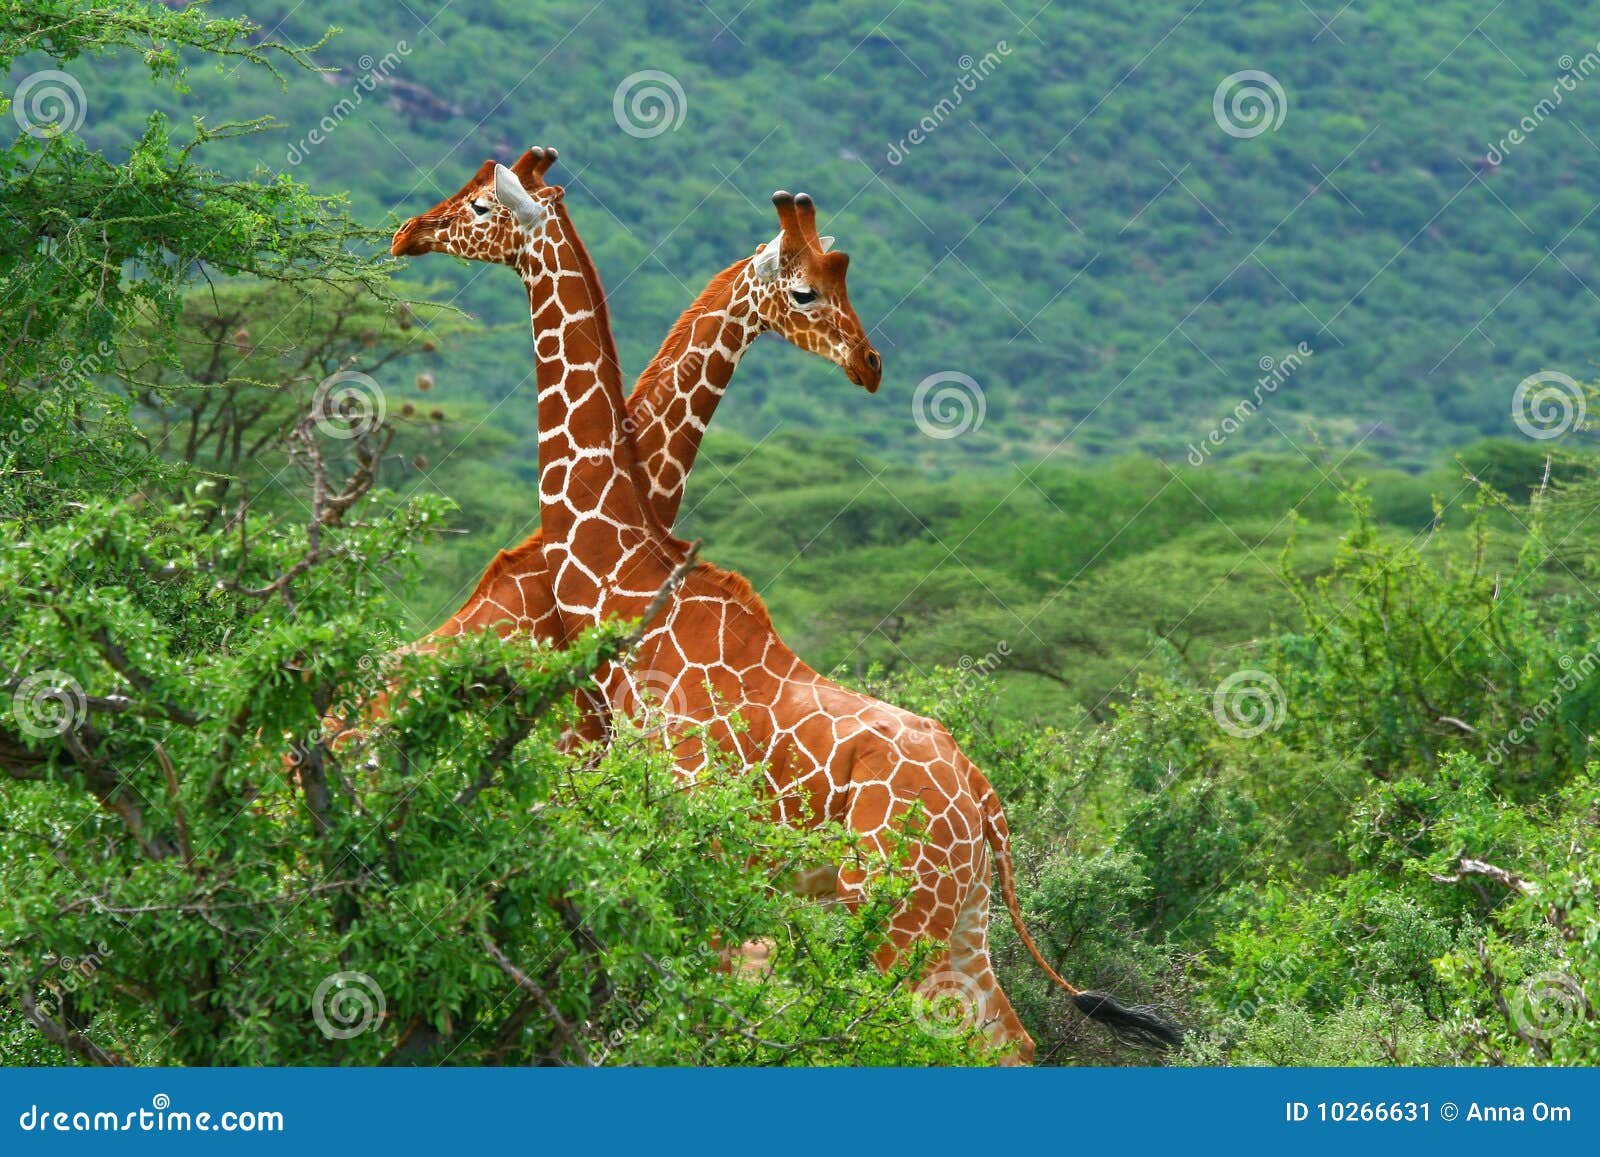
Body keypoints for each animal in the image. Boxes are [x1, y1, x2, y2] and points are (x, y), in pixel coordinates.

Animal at [391, 149, 1181, 1062]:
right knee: (1007, 1042)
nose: (407, 232)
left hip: (893, 914)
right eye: (810, 288)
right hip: (957, 920)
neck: (627, 586)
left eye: (481, 203)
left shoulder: (685, 840)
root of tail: (986, 802)